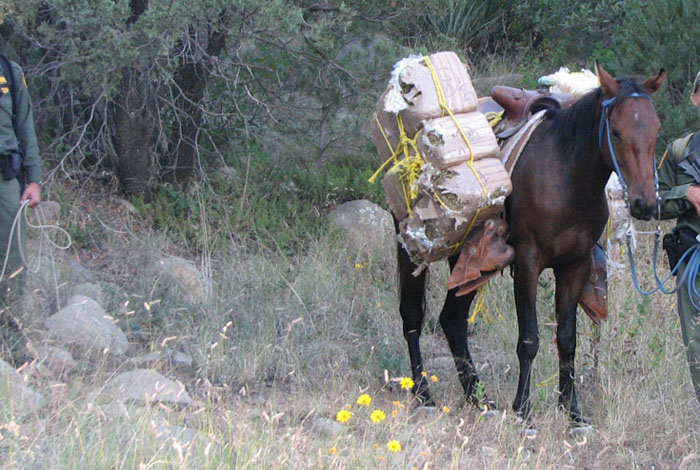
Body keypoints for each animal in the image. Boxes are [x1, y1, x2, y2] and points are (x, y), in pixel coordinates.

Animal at [394, 62, 665, 425]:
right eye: (617, 132)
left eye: (656, 131)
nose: (644, 204)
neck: (566, 176)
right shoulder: (527, 264)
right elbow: (529, 339)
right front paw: (523, 410)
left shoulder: (575, 265)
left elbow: (567, 340)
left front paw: (572, 412)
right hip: (412, 250)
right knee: (412, 315)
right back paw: (423, 394)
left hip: (465, 258)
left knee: (452, 320)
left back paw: (477, 398)